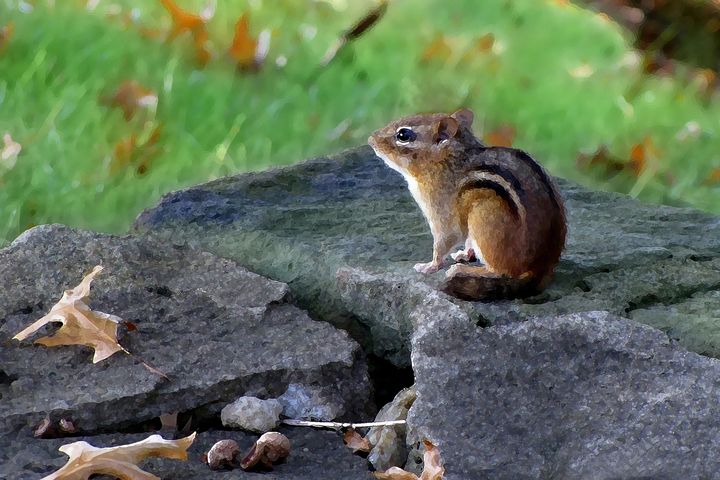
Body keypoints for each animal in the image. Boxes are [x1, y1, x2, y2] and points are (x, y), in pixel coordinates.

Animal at [368, 108, 566, 301]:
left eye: (403, 135)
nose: (371, 139)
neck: (446, 161)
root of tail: (541, 270)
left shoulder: (442, 211)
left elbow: (444, 240)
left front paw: (430, 266)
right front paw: (464, 253)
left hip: (484, 217)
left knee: (501, 272)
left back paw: (463, 270)